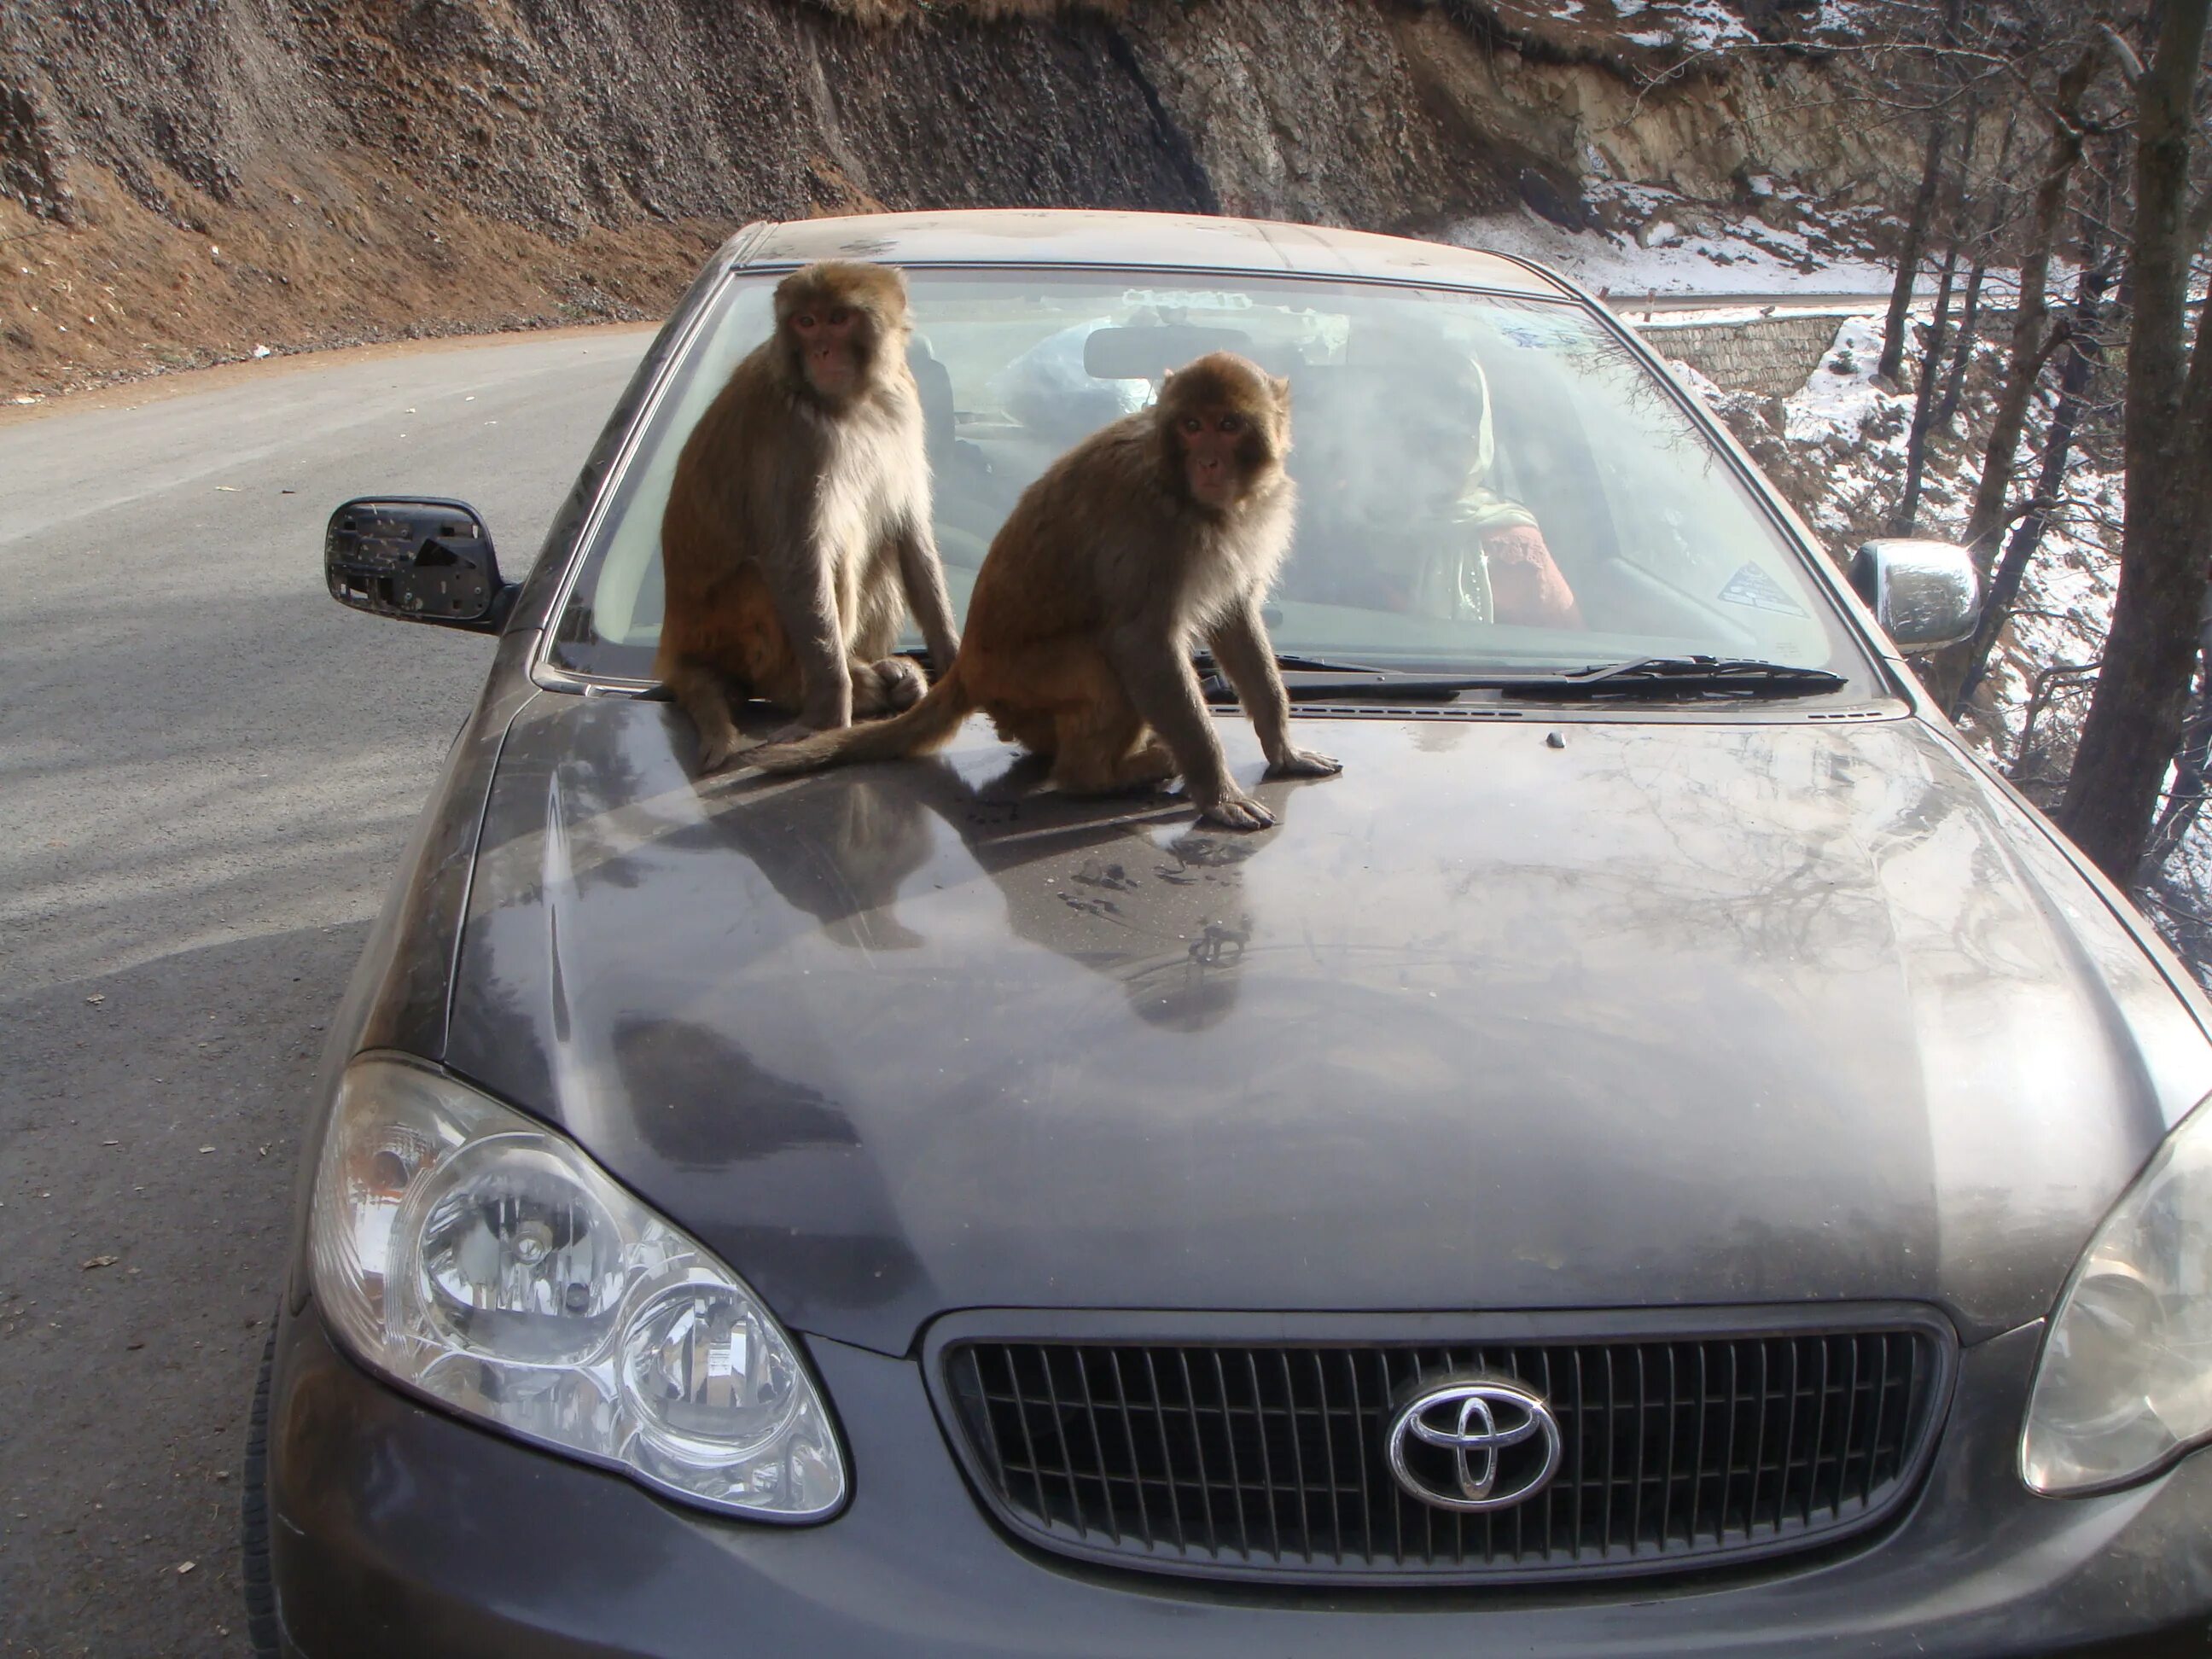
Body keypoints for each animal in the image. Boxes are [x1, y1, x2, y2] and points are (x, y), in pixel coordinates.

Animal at [656, 259, 961, 772]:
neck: (856, 403)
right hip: (728, 631)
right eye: (806, 322)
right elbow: (793, 554)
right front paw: (826, 711)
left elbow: (909, 531)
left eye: (838, 319)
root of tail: (674, 642)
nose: (820, 350)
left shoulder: (903, 400)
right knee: (816, 556)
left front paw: (957, 661)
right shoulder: (792, 434)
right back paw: (826, 687)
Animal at [750, 351, 1342, 831]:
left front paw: (1283, 748)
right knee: (1103, 666)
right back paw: (1097, 777)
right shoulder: (1148, 528)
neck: (1186, 493)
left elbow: (1237, 622)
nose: (1210, 461)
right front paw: (1217, 792)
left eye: (1229, 424)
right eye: (1193, 426)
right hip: (1017, 680)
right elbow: (1140, 642)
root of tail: (964, 665)